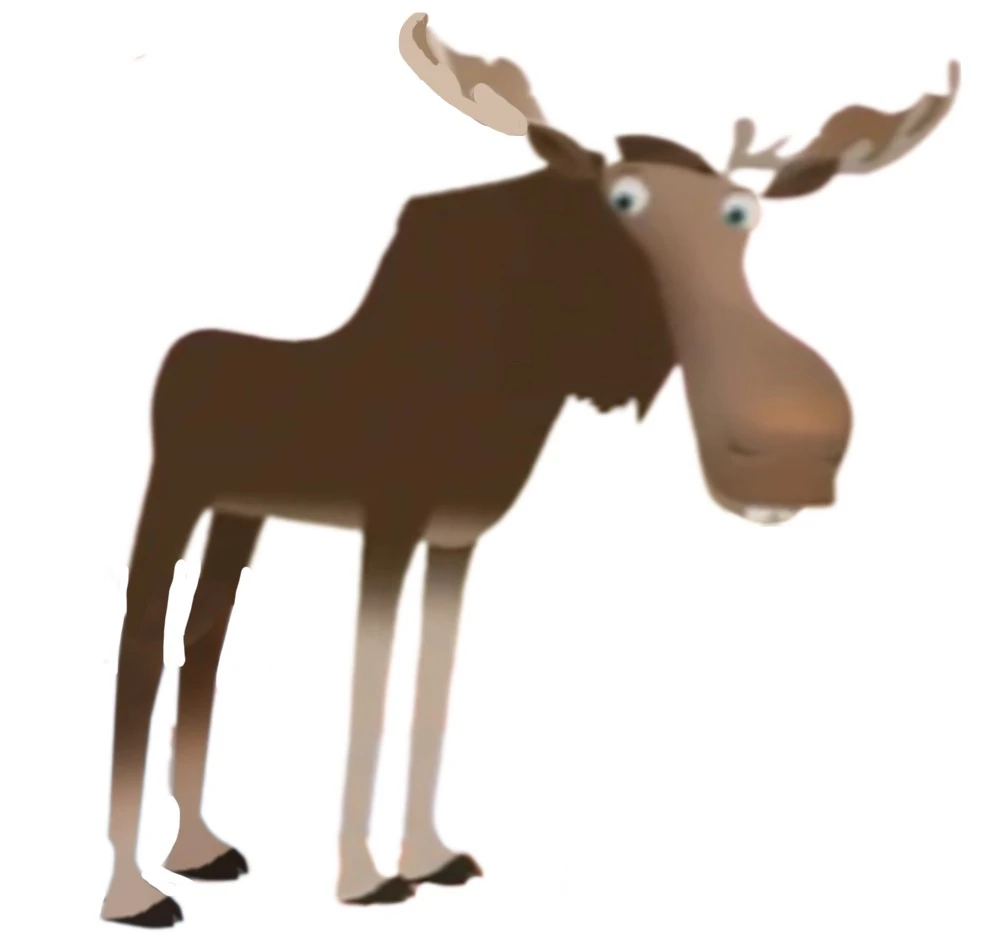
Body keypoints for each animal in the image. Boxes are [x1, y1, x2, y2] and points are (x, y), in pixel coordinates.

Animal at [100, 11, 960, 928]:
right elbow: (371, 679)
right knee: (141, 639)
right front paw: (364, 878)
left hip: (241, 511)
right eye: (623, 199)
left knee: (205, 639)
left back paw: (200, 847)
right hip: (174, 492)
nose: (793, 442)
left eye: (742, 214)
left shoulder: (456, 534)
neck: (506, 379)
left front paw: (430, 857)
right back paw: (132, 891)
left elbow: (432, 680)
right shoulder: (388, 519)